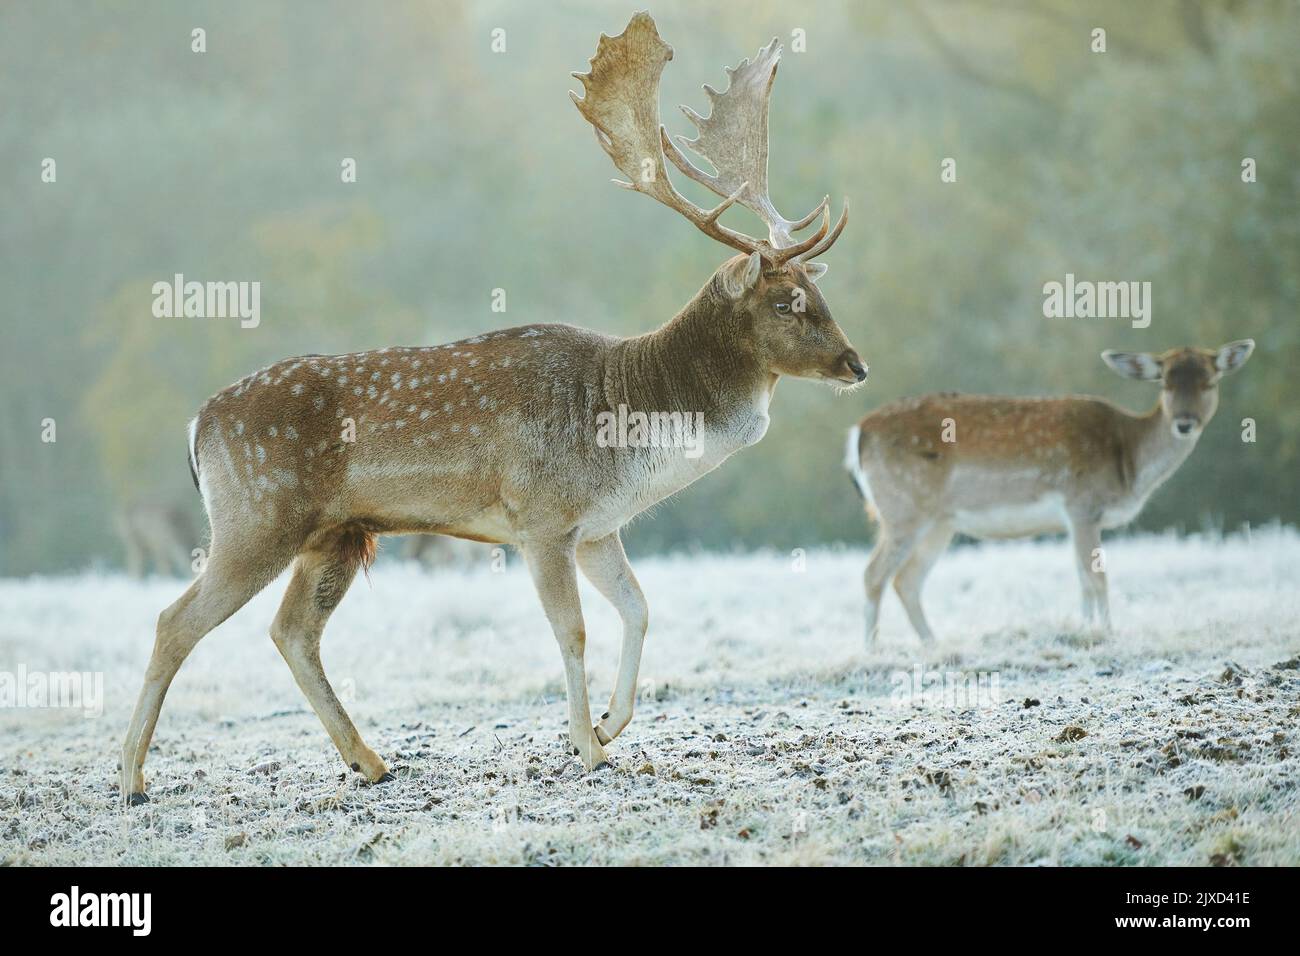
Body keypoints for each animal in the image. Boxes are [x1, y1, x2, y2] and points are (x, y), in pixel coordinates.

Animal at [120, 11, 865, 803]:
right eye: (787, 302)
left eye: (821, 293)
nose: (858, 364)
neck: (630, 431)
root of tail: (197, 425)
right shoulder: (541, 518)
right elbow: (571, 631)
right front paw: (587, 748)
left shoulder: (596, 528)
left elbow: (639, 609)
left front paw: (611, 725)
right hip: (256, 515)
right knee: (175, 620)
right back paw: (132, 777)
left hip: (335, 533)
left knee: (291, 631)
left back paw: (370, 761)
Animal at [844, 341, 1254, 644]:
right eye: (1165, 383)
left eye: (1210, 382)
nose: (1185, 423)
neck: (1128, 463)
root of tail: (858, 433)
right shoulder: (1082, 504)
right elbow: (1097, 578)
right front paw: (1107, 634)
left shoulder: (1074, 519)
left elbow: (1082, 579)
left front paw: (1084, 629)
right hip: (903, 508)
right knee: (873, 574)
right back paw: (872, 651)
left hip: (939, 521)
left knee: (907, 580)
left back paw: (933, 646)